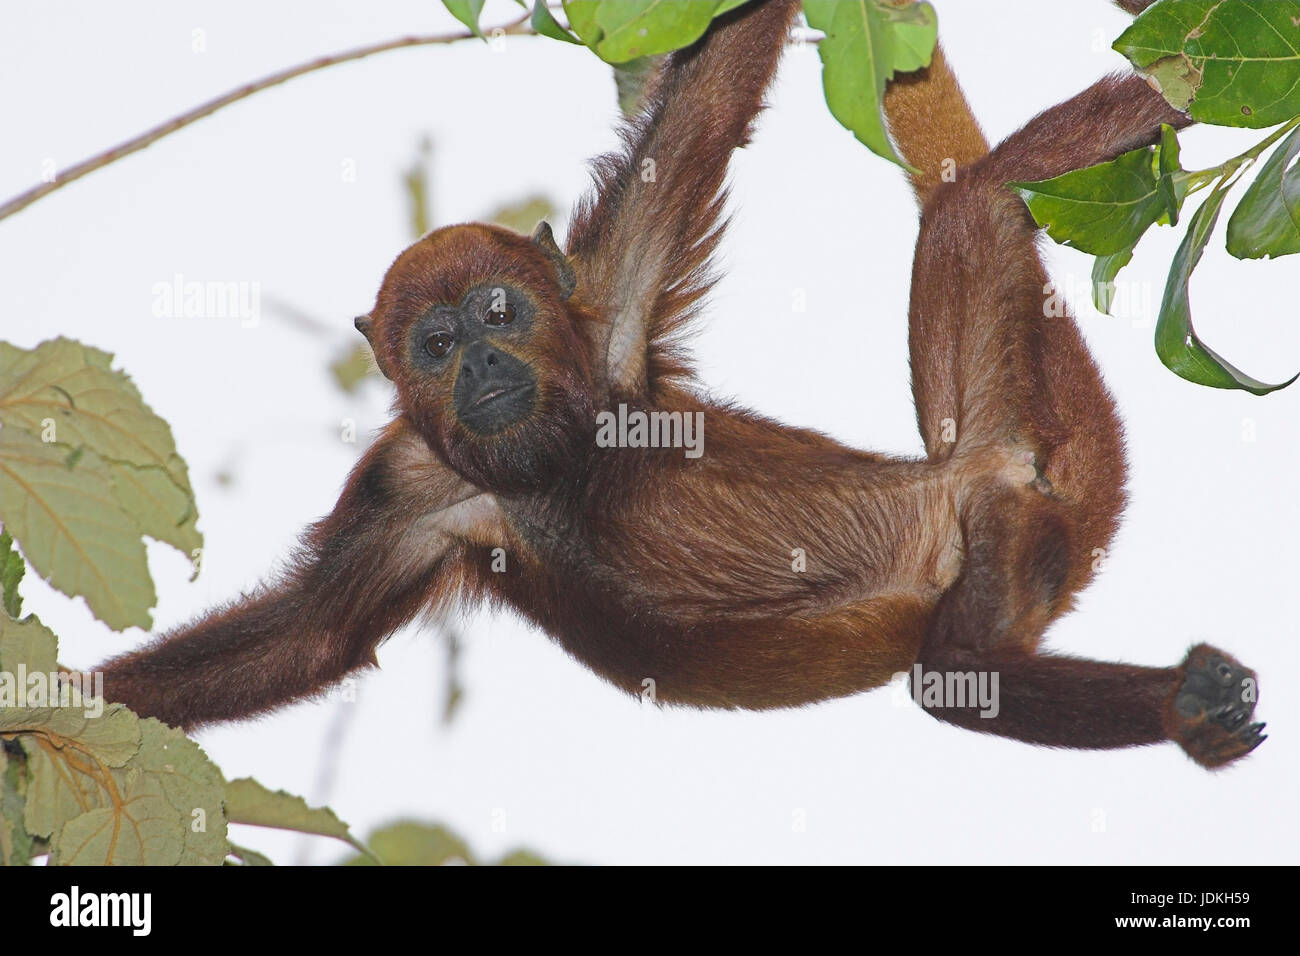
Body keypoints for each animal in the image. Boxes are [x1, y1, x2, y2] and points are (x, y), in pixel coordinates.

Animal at [97, 0, 1264, 770]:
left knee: (977, 200)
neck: (558, 457)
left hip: (992, 485)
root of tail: (996, 473)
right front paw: (63, 704)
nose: (481, 364)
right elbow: (307, 635)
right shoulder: (409, 484)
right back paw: (1184, 709)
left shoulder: (612, 301)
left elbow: (710, 93)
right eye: (432, 344)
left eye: (498, 313)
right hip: (1005, 514)